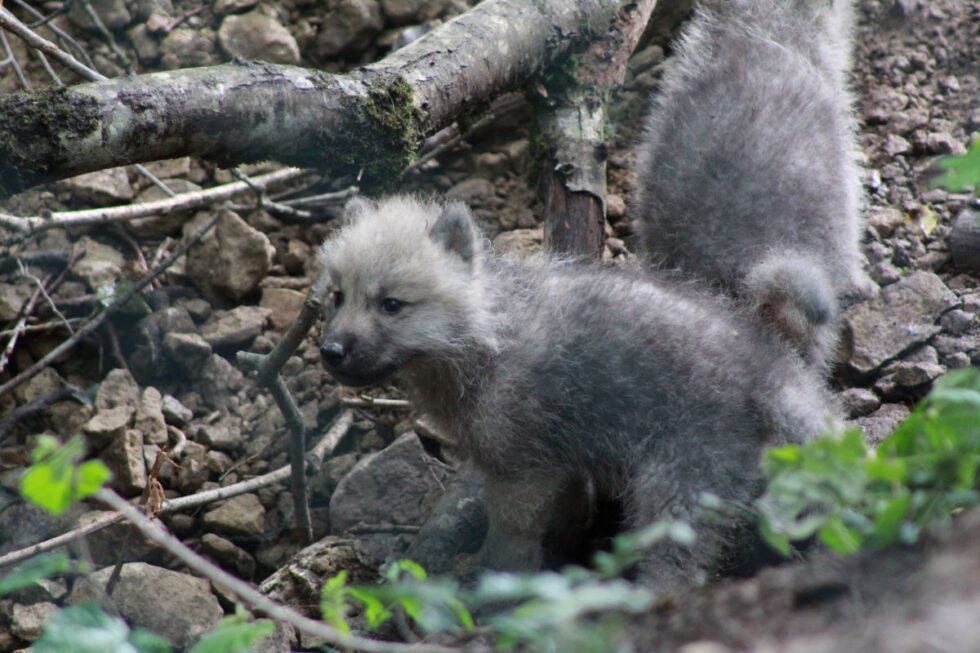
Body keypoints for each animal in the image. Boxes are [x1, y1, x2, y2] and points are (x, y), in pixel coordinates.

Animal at [315, 196, 838, 587]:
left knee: (675, 573)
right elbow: (564, 517)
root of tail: (768, 371)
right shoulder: (558, 464)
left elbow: (509, 544)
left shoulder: (521, 475)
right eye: (337, 296)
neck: (488, 335)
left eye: (391, 304)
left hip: (673, 486)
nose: (330, 351)